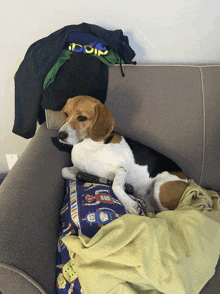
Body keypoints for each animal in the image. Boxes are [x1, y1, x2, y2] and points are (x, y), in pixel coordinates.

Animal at [57, 95, 188, 215]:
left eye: (82, 118)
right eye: (66, 114)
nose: (60, 135)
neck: (90, 146)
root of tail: (185, 178)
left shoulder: (121, 169)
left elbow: (115, 186)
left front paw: (128, 204)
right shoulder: (80, 168)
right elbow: (64, 171)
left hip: (160, 188)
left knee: (165, 212)